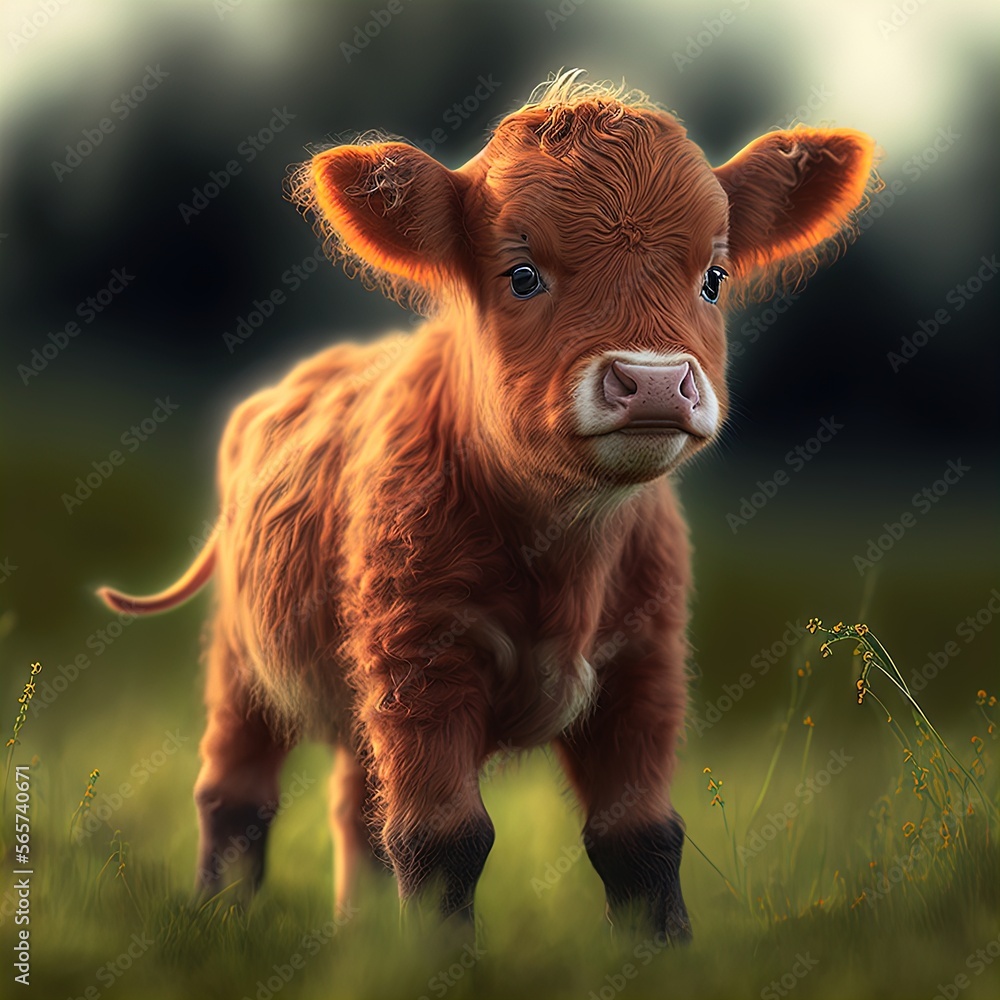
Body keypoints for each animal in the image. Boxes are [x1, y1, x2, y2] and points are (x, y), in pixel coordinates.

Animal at [98, 70, 876, 942]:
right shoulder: (421, 658)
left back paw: (361, 941)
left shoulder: (645, 667)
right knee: (236, 792)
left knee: (355, 809)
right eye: (522, 274)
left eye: (714, 277)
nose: (650, 383)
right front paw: (439, 959)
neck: (566, 547)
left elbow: (640, 839)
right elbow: (443, 838)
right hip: (244, 659)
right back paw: (219, 917)